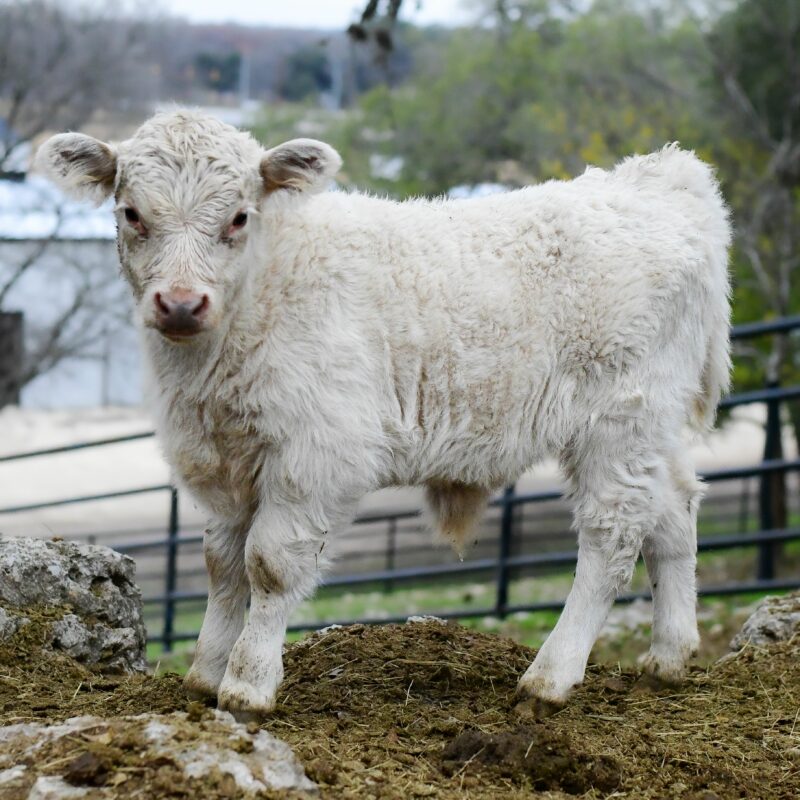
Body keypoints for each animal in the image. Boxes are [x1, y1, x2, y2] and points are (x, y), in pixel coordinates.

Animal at [37, 110, 731, 719]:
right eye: (132, 213)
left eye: (238, 216)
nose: (181, 304)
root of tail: (659, 174)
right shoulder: (227, 459)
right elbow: (222, 564)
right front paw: (205, 672)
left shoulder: (316, 453)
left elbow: (269, 564)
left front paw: (247, 684)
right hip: (651, 428)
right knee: (673, 509)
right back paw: (669, 656)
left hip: (618, 422)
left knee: (613, 533)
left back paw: (550, 678)